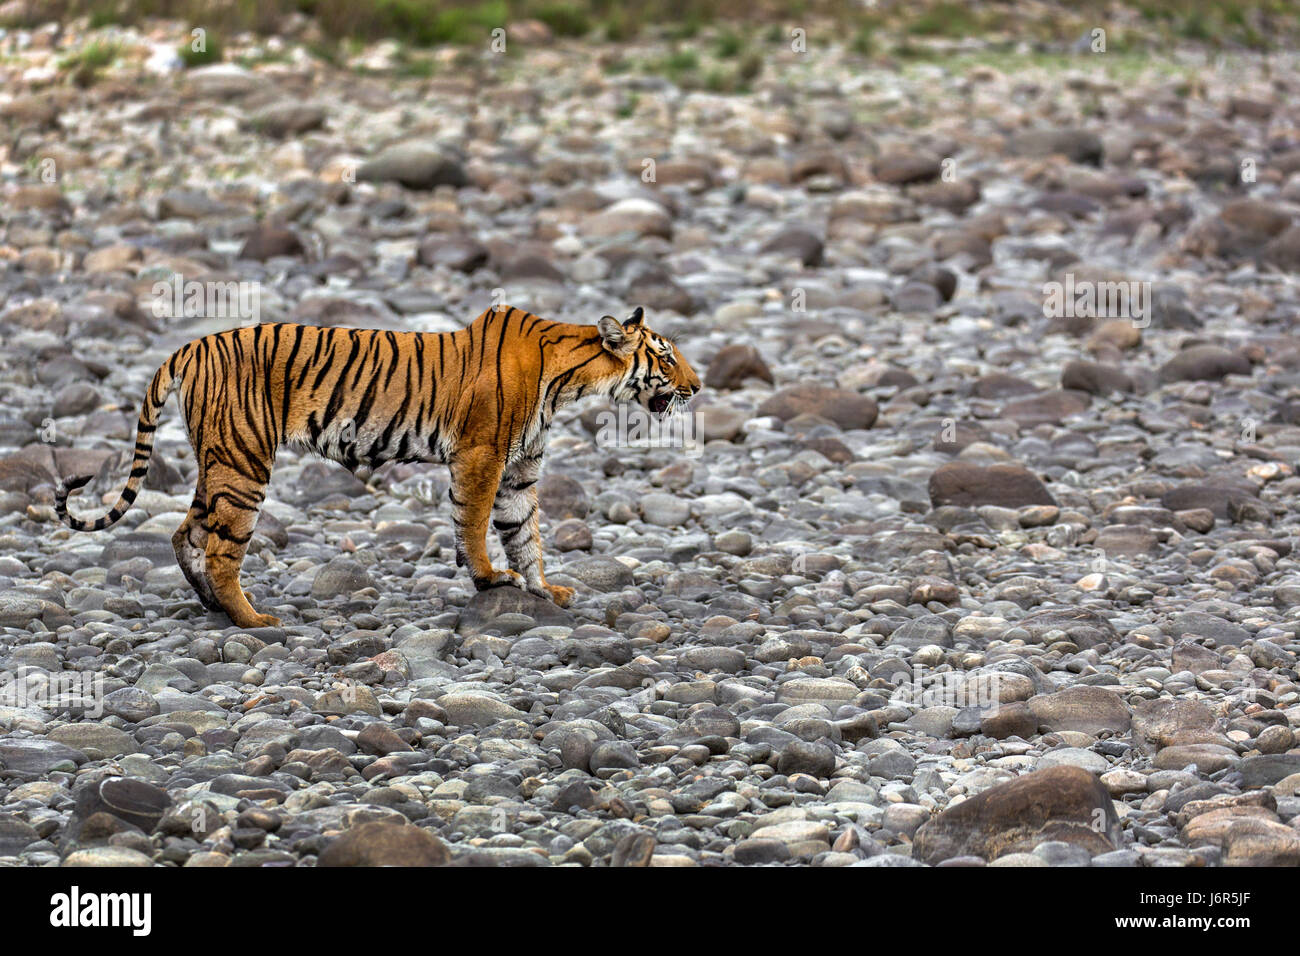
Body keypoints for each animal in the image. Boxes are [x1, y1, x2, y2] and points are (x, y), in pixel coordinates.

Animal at [55, 306, 701, 629]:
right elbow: (476, 523)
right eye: (667, 357)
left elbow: (525, 533)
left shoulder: (521, 466)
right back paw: (253, 620)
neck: (570, 379)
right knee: (219, 547)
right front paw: (490, 579)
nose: (698, 387)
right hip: (244, 464)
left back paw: (213, 606)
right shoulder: (483, 455)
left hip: (217, 462)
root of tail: (189, 345)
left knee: (185, 532)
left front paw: (545, 589)